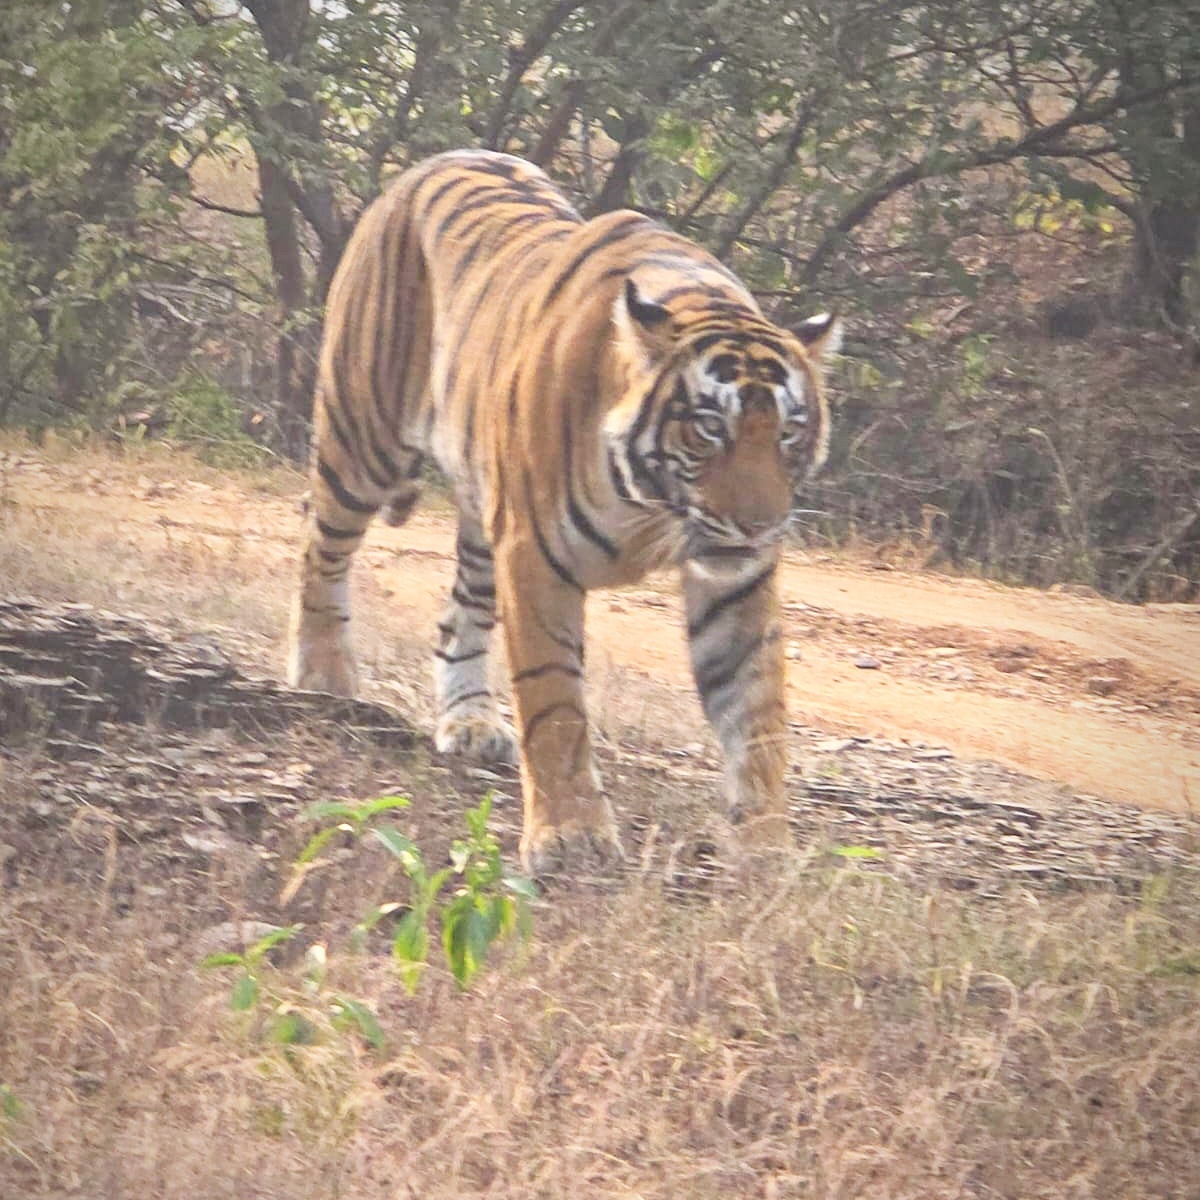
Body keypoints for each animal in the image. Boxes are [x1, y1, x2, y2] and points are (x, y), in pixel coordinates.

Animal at [288, 149, 841, 876]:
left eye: (787, 433)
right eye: (709, 429)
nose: (757, 526)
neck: (651, 504)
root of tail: (429, 165)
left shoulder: (739, 586)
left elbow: (758, 712)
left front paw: (767, 848)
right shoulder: (536, 555)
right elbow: (554, 701)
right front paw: (572, 835)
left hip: (480, 509)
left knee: (458, 614)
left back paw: (469, 721)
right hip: (362, 437)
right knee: (321, 549)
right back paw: (323, 679)